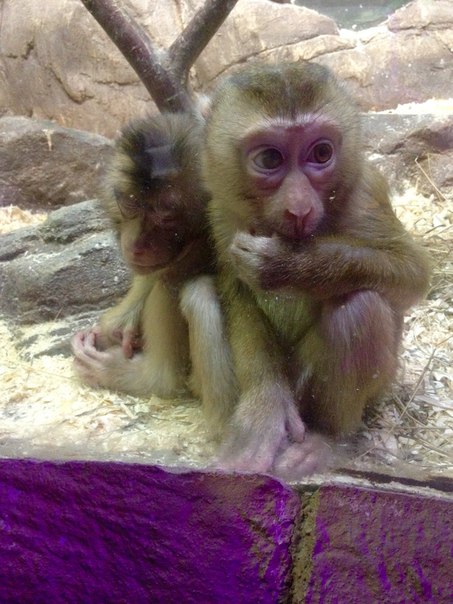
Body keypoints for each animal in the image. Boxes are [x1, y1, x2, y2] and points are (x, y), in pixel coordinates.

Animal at [201, 62, 431, 477]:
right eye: (270, 160)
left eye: (322, 152)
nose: (299, 208)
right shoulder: (221, 212)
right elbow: (235, 291)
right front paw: (265, 407)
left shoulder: (365, 194)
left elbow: (411, 274)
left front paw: (288, 265)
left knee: (360, 309)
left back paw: (326, 437)